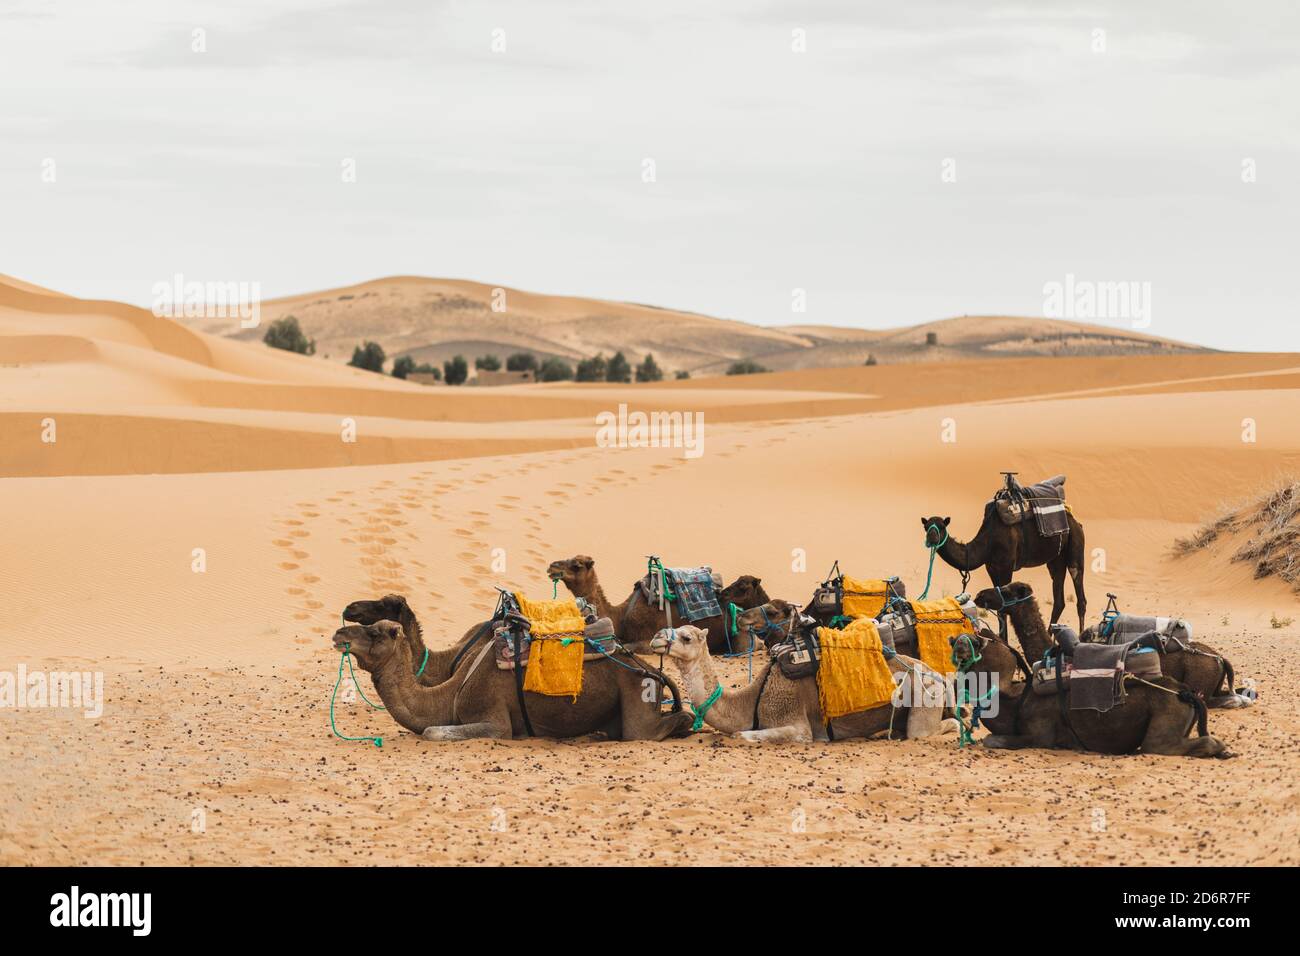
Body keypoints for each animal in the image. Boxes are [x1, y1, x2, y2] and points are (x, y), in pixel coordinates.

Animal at [332, 620, 694, 741]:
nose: (338, 633)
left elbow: (432, 731)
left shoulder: (493, 719)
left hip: (636, 691)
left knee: (655, 727)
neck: (450, 693)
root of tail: (649, 668)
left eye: (375, 632)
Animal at [547, 555, 768, 654]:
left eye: (576, 565)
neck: (621, 616)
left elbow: (625, 647)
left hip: (741, 635)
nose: (551, 566)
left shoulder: (646, 639)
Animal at [647, 612, 958, 743]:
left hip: (926, 695)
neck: (752, 699)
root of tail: (939, 677)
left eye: (686, 637)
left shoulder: (795, 722)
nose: (656, 637)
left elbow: (741, 734)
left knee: (930, 729)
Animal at [920, 501, 1087, 631]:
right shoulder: (992, 568)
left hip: (1075, 547)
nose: (932, 537)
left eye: (942, 526)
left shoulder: (1006, 566)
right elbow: (999, 609)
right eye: (926, 527)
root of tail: (1077, 523)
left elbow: (1004, 608)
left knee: (1079, 592)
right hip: (1056, 560)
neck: (988, 542)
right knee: (1059, 599)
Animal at [948, 627, 1232, 758]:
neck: (1016, 700)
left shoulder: (1040, 733)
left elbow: (992, 740)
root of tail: (1185, 693)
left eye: (980, 640)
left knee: (1166, 744)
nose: (956, 641)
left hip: (1164, 723)